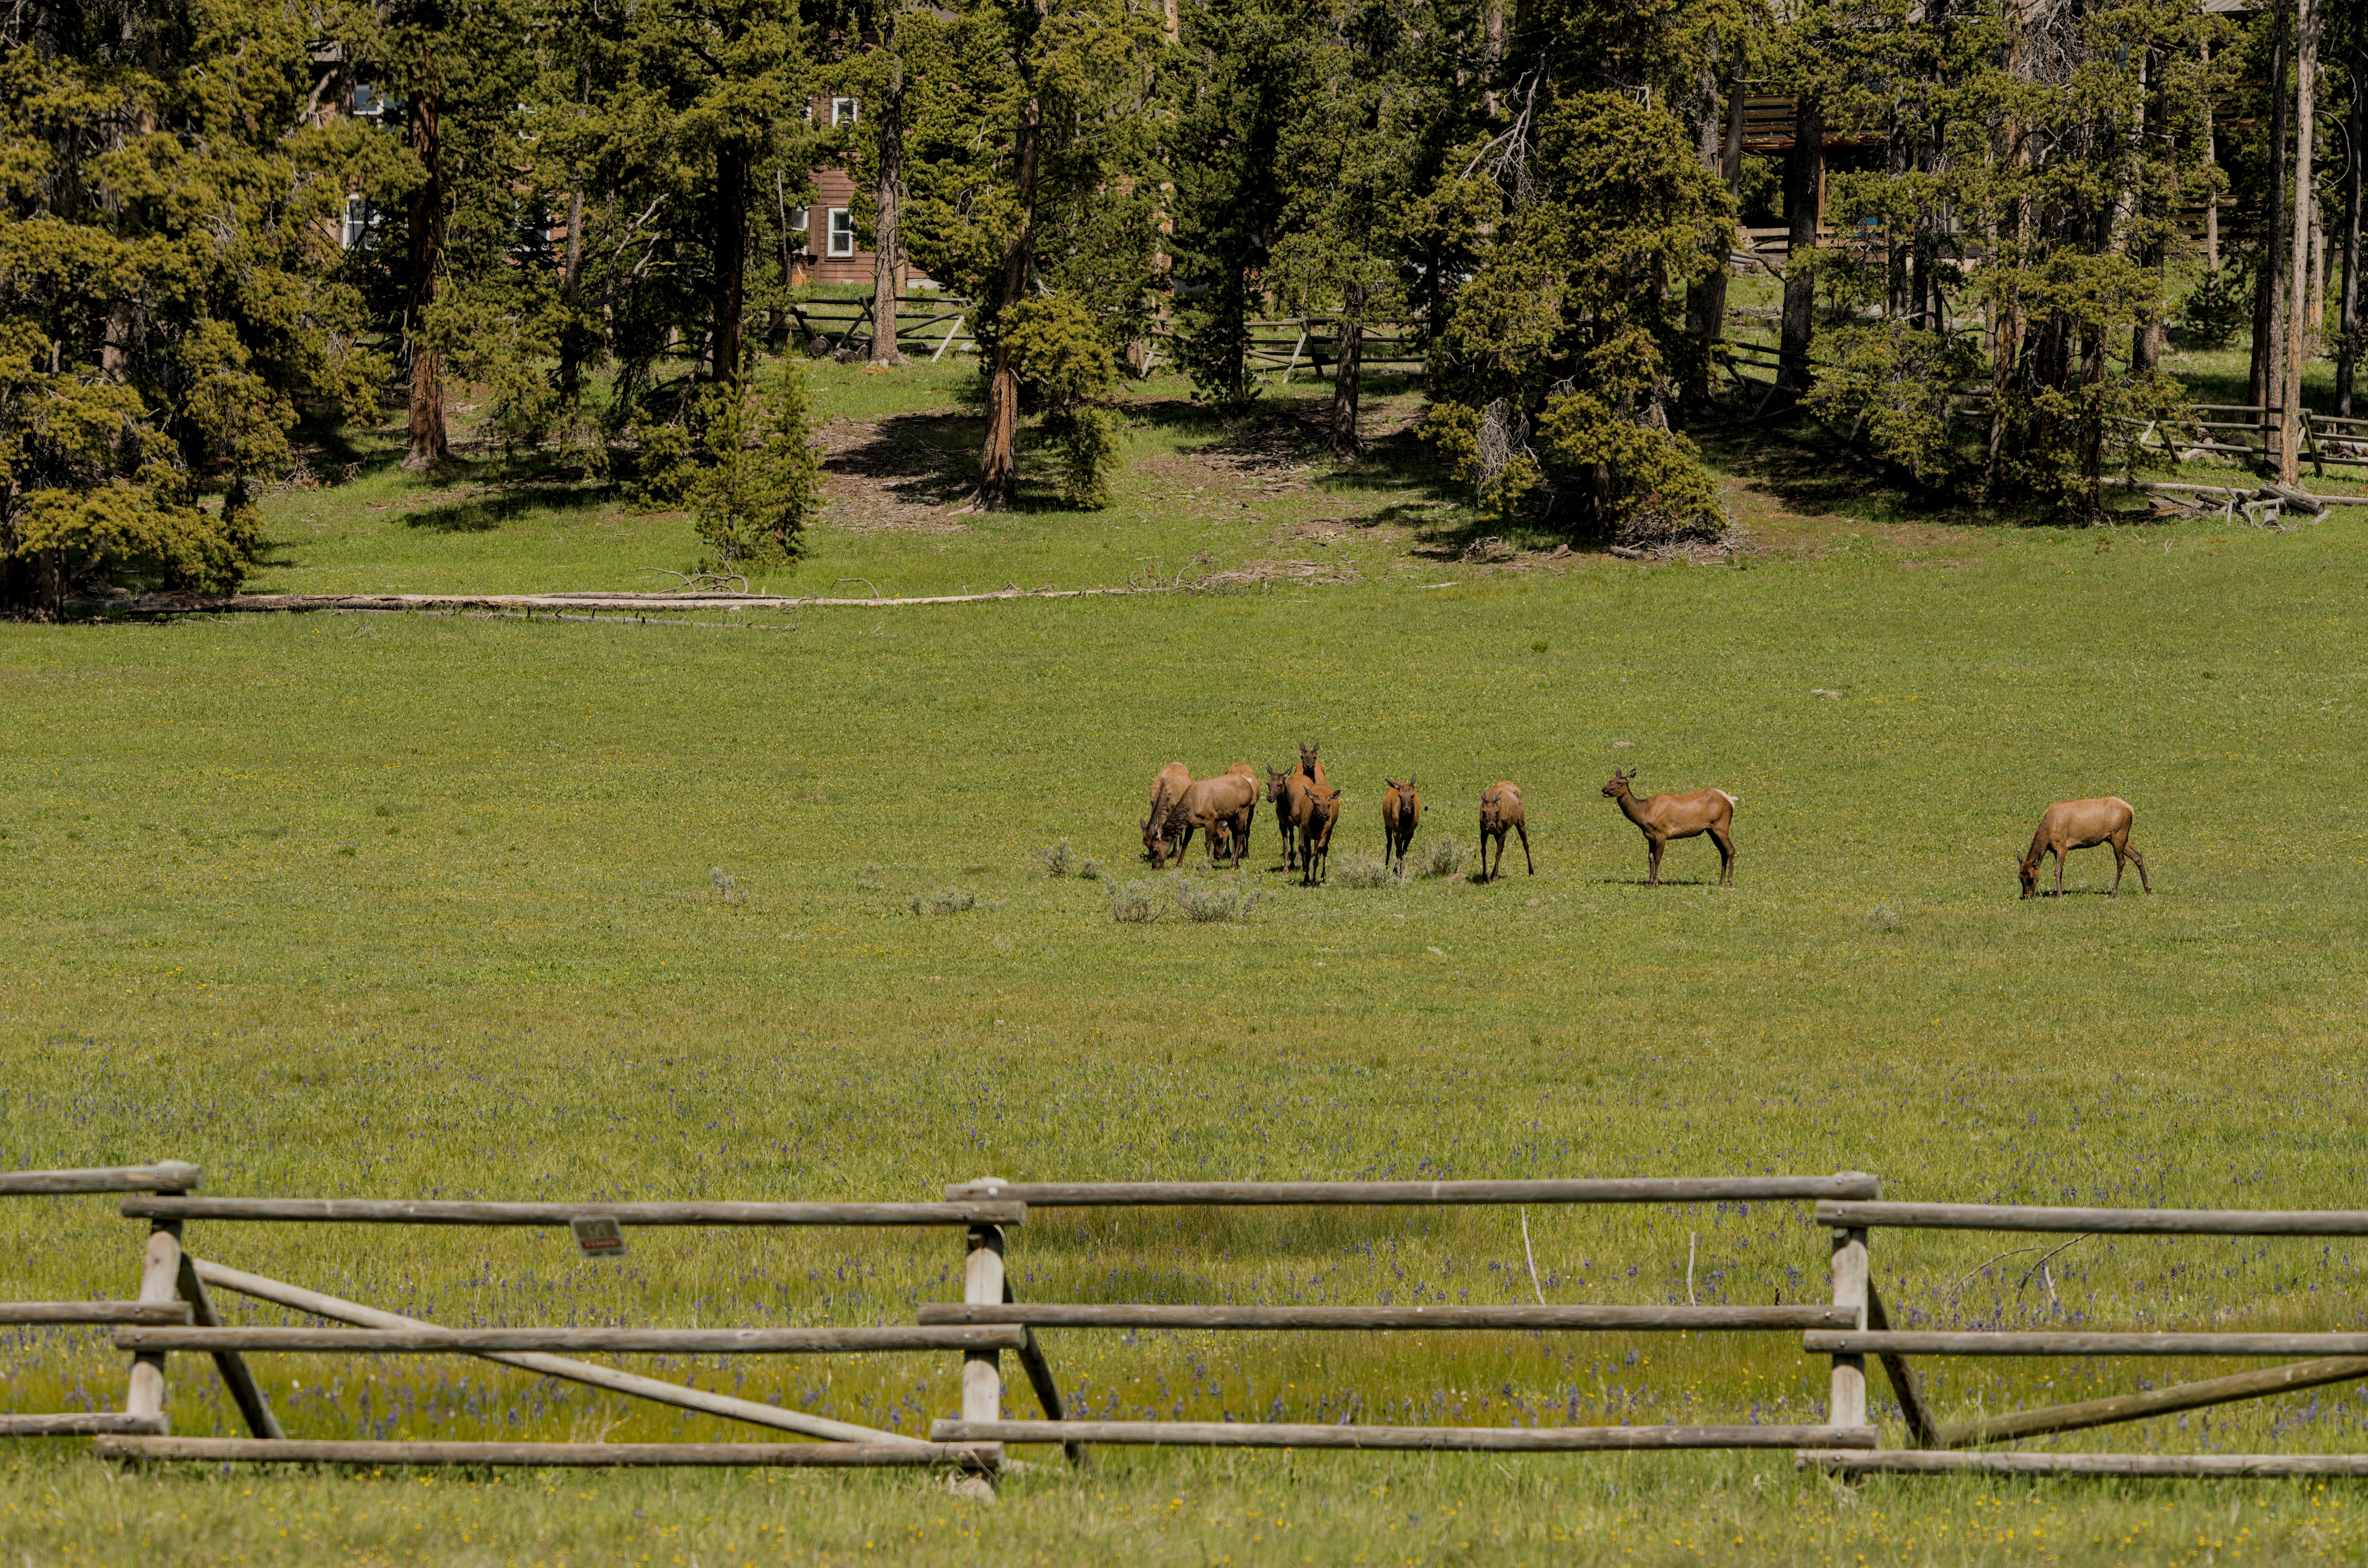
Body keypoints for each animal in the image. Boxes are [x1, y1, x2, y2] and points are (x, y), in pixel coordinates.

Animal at [1382, 776, 1422, 874]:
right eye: (1400, 796)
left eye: (1413, 795)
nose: (1406, 810)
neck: (1406, 822)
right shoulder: (1396, 831)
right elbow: (1400, 853)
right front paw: (1400, 874)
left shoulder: (1411, 832)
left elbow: (1403, 853)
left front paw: (1401, 873)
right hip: (1388, 824)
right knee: (1389, 845)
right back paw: (1386, 868)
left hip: (1404, 833)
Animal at [1477, 782, 1532, 881]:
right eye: (1484, 812)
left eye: (1497, 812)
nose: (1492, 826)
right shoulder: (1483, 831)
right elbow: (1483, 851)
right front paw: (1485, 877)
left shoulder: (1503, 831)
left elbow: (1498, 854)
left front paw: (1495, 878)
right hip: (1497, 834)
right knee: (1502, 848)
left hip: (1521, 819)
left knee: (1526, 844)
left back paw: (1531, 871)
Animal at [1601, 768, 1736, 887]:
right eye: (1610, 781)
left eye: (1620, 783)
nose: (1604, 789)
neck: (1645, 814)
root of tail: (1731, 801)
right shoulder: (1650, 836)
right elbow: (1650, 858)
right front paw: (1650, 883)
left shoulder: (1662, 833)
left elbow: (1657, 859)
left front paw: (1655, 884)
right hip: (1711, 829)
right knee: (1723, 851)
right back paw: (1721, 882)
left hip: (1721, 825)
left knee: (1731, 850)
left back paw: (1730, 882)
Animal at [2019, 797, 2150, 899]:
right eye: (2020, 877)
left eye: (2032, 878)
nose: (2026, 896)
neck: (2048, 834)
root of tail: (2131, 811)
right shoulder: (2055, 850)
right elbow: (2061, 872)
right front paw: (2060, 892)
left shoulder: (2062, 846)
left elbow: (2057, 871)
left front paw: (2060, 895)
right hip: (2120, 838)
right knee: (2138, 856)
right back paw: (2148, 889)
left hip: (2118, 835)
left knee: (2121, 862)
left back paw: (2113, 893)